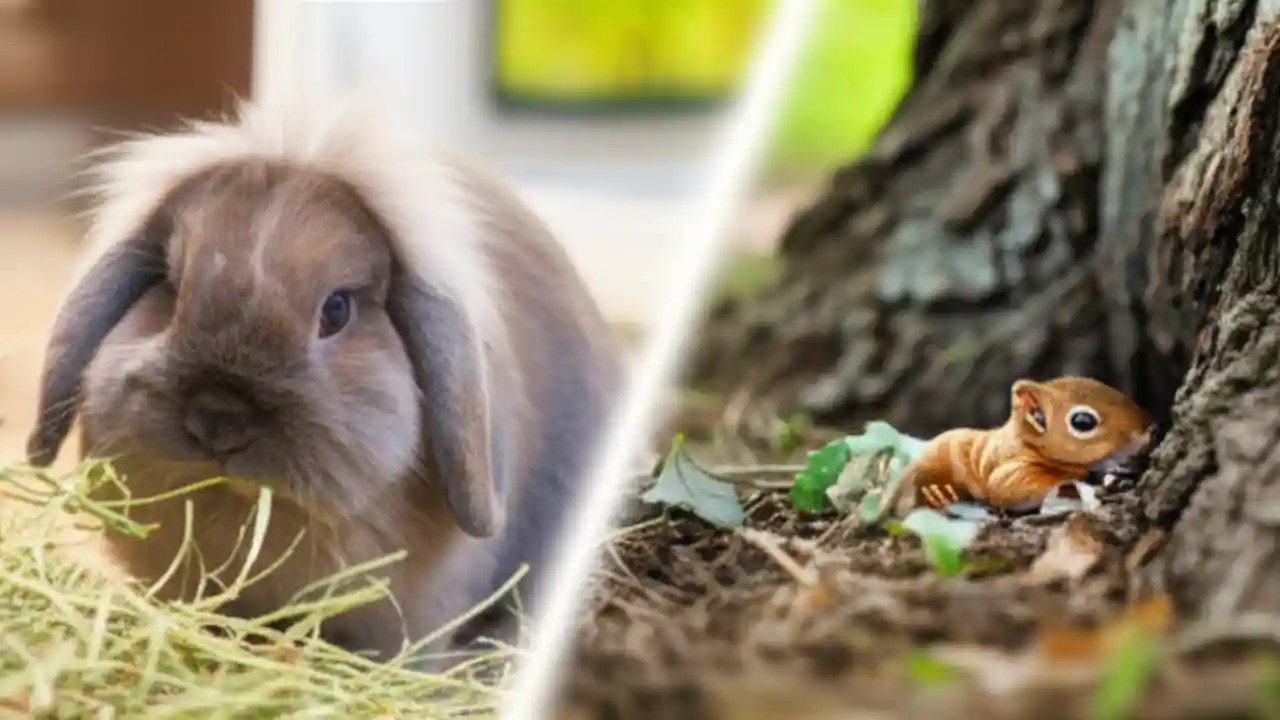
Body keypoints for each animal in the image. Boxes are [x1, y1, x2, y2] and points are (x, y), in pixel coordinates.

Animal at [904, 377, 1155, 511]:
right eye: (1083, 422)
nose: (1149, 430)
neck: (1025, 442)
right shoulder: (1008, 469)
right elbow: (1012, 487)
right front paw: (1103, 481)